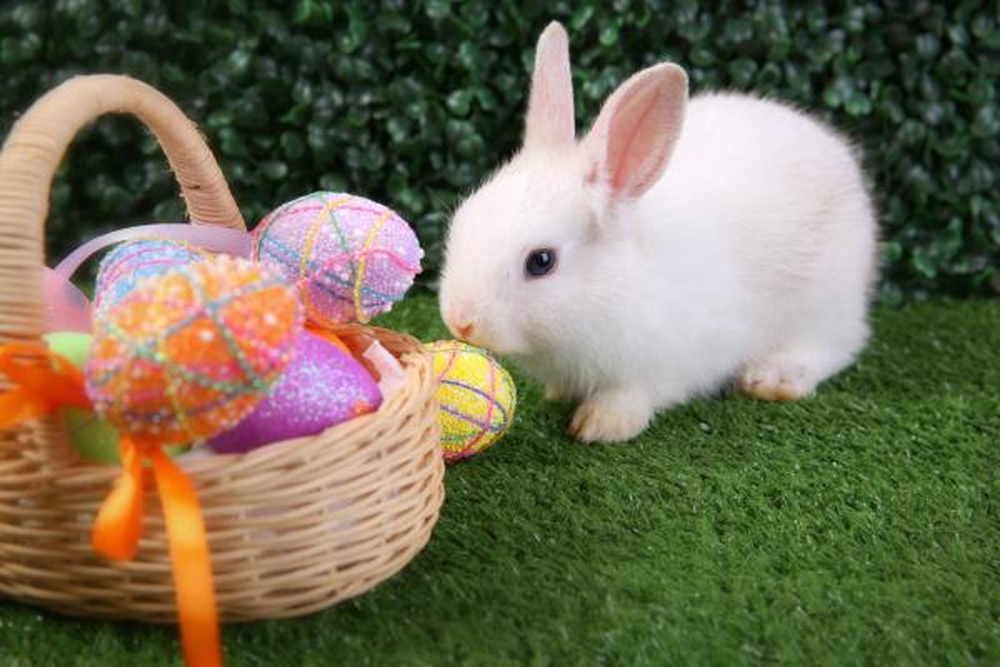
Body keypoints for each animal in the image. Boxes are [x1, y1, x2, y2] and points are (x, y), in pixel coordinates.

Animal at [438, 21, 878, 444]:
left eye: (541, 261)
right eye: (462, 219)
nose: (460, 321)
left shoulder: (665, 365)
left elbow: (635, 396)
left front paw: (601, 425)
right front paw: (559, 395)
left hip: (824, 303)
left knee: (839, 344)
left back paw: (772, 378)